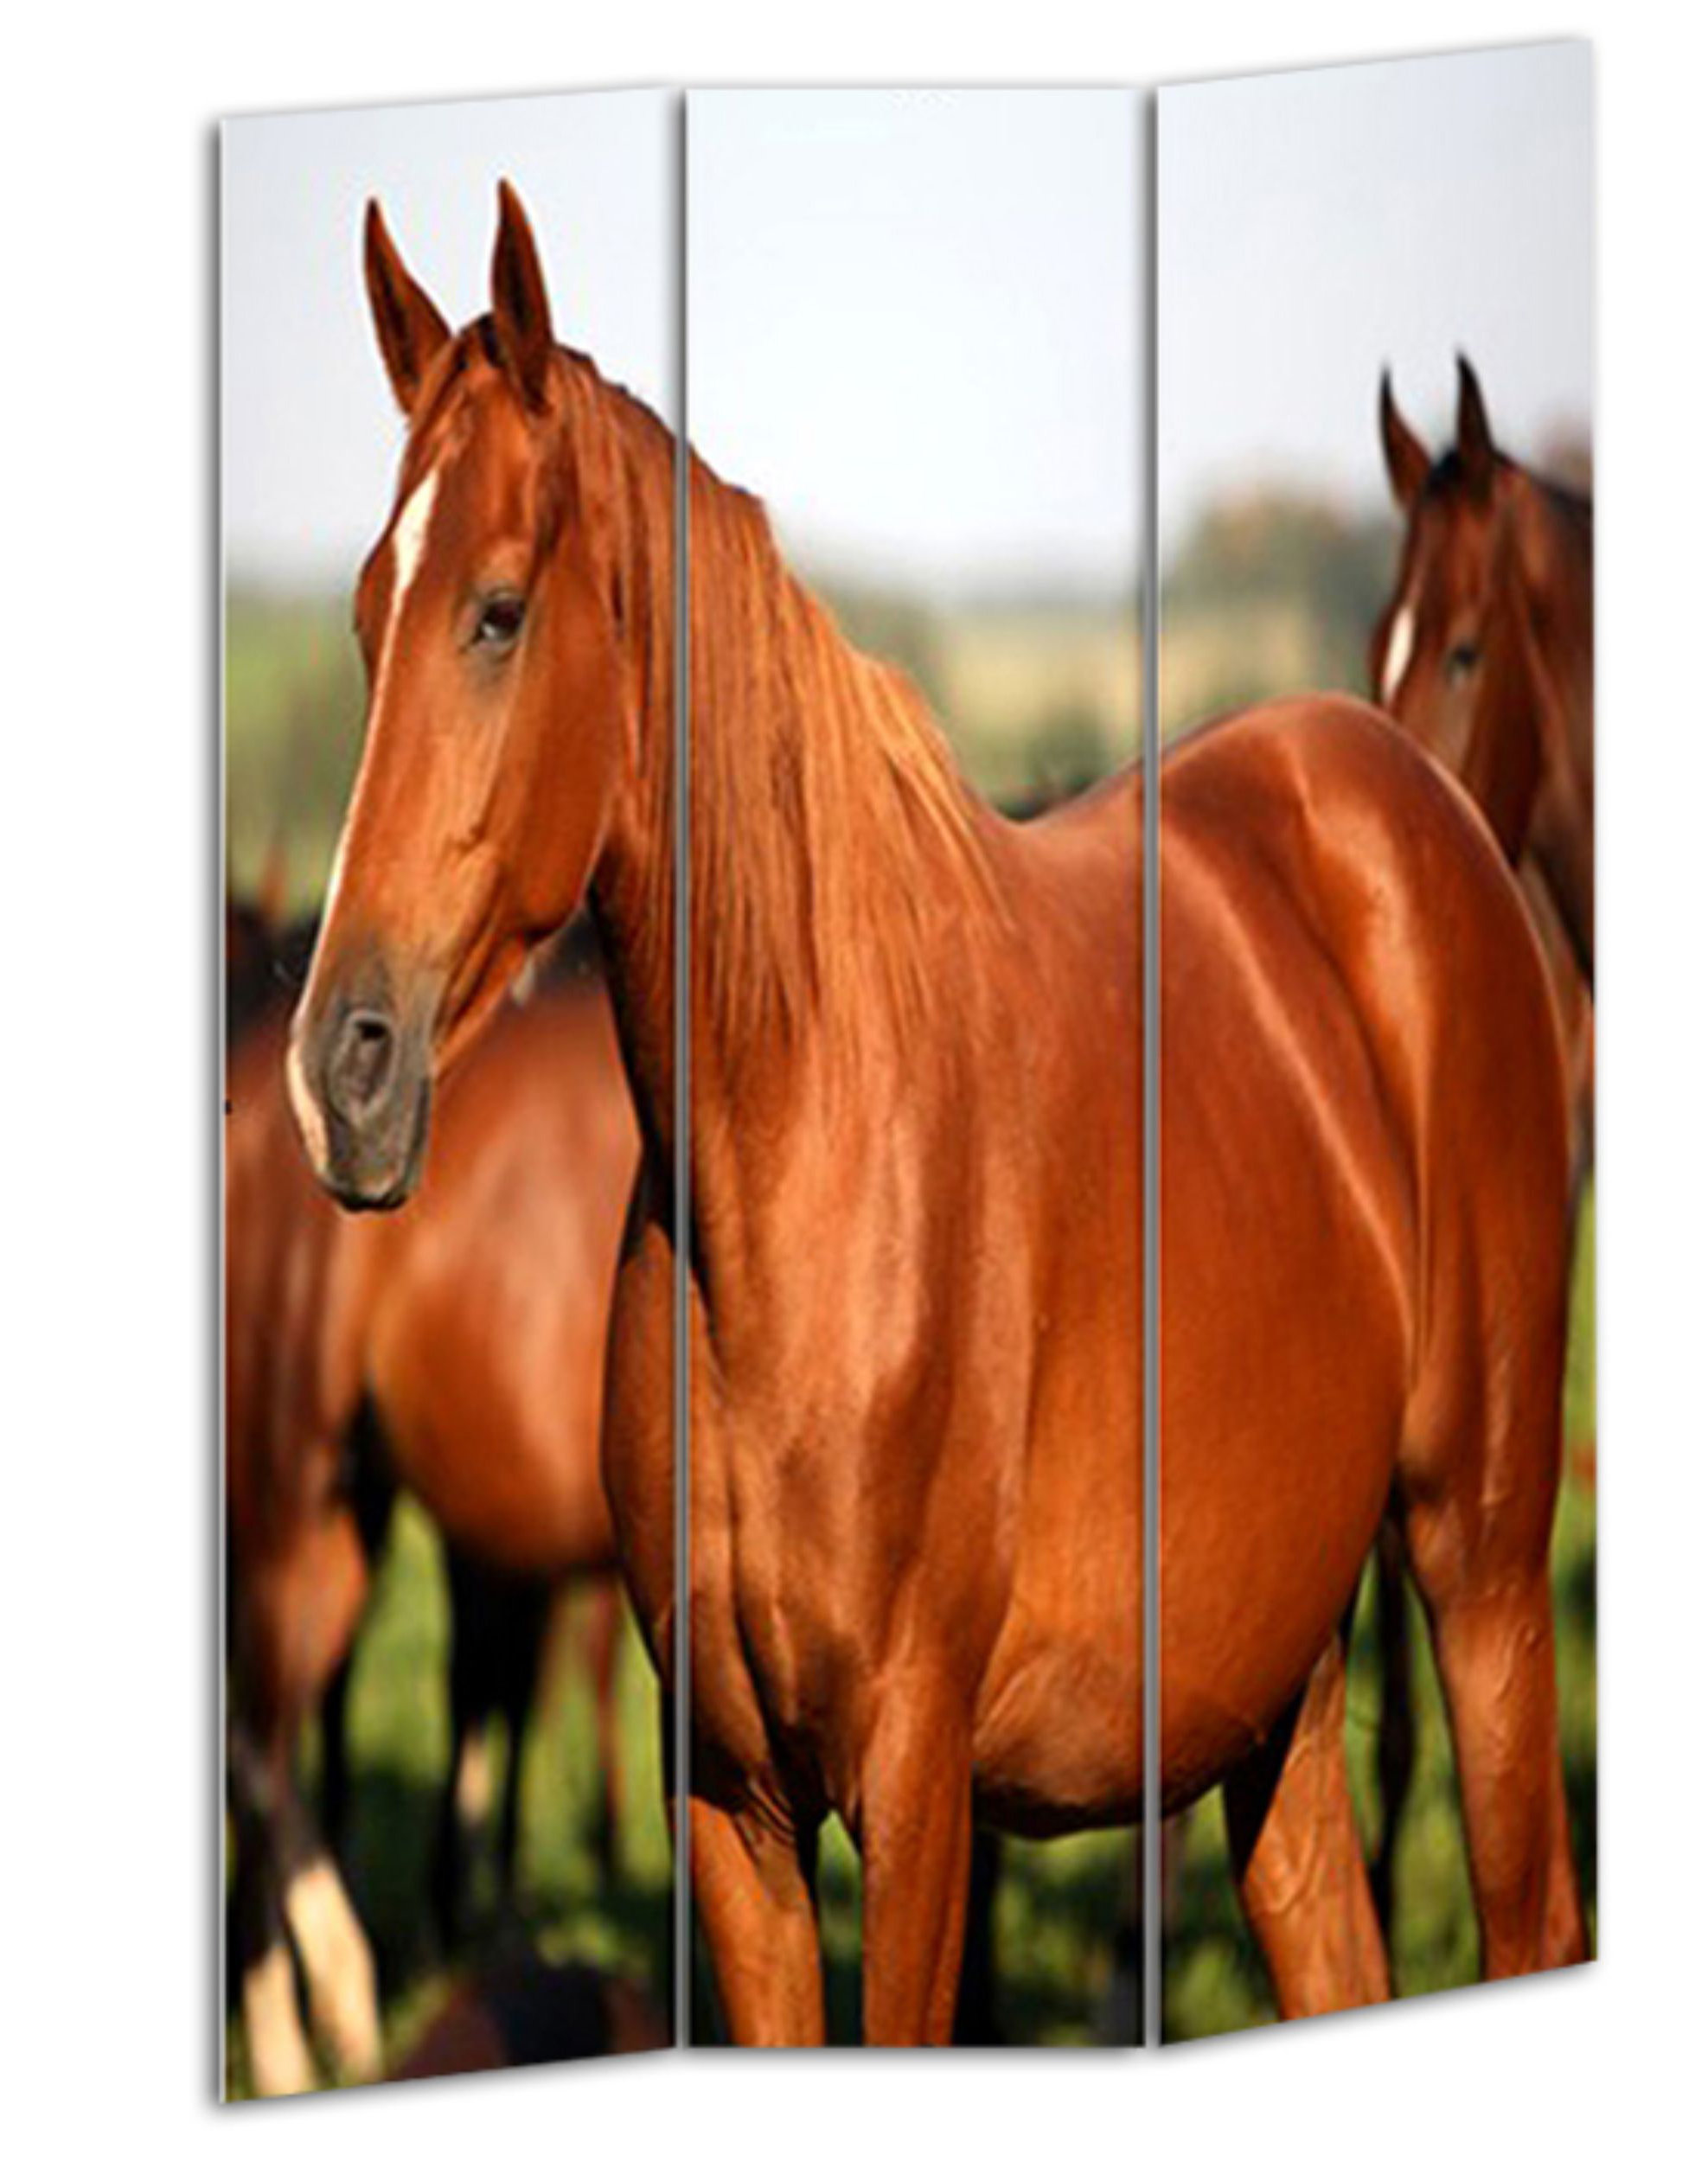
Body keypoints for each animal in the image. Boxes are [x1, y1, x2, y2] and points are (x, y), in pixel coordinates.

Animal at [285, 185, 1586, 2042]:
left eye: (497, 610)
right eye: (359, 616)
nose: (342, 1072)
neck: (797, 1172)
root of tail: (1415, 807)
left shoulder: (913, 1796)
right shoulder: (734, 1813)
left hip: (1480, 1579)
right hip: (1275, 1689)